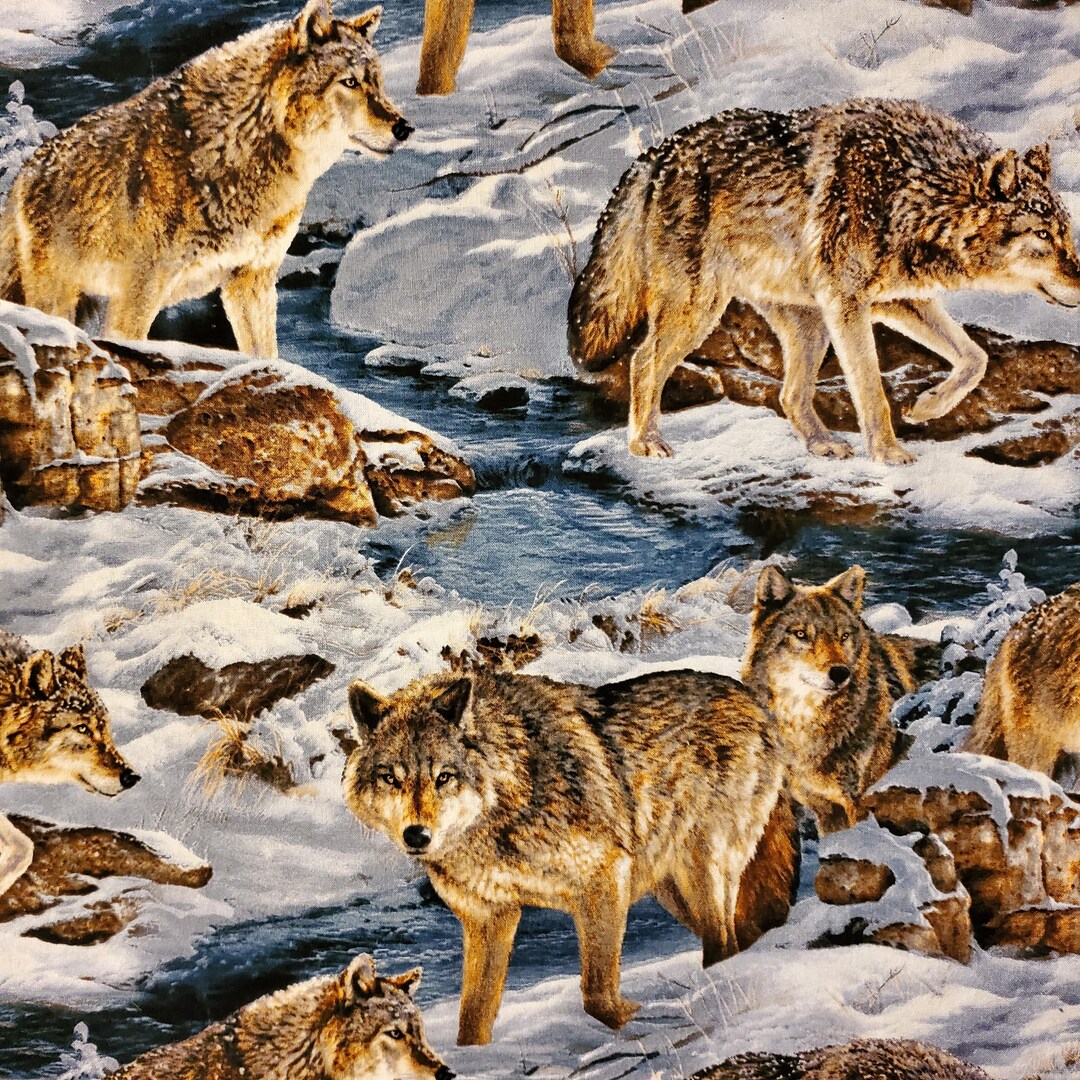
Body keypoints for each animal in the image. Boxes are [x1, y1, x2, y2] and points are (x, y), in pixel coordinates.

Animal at [0, 0, 410, 359]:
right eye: (350, 82)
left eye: (378, 82)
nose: (404, 127)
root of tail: (22, 177)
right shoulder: (137, 294)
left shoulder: (252, 282)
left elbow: (267, 356)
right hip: (59, 300)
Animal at [343, 668, 784, 1045]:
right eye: (390, 778)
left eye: (443, 777)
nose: (417, 835)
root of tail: (754, 701)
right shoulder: (489, 918)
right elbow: (473, 1020)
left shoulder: (604, 879)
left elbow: (596, 993)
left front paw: (639, 1020)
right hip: (671, 893)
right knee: (734, 939)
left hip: (701, 870)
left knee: (723, 943)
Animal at [568, 99, 1080, 463]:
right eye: (1041, 235)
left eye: (1066, 232)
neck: (910, 193)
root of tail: (655, 155)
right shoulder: (847, 303)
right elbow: (872, 390)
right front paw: (889, 454)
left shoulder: (896, 300)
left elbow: (975, 358)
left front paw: (927, 406)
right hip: (700, 311)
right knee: (642, 362)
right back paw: (645, 443)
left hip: (806, 325)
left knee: (789, 394)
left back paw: (822, 445)